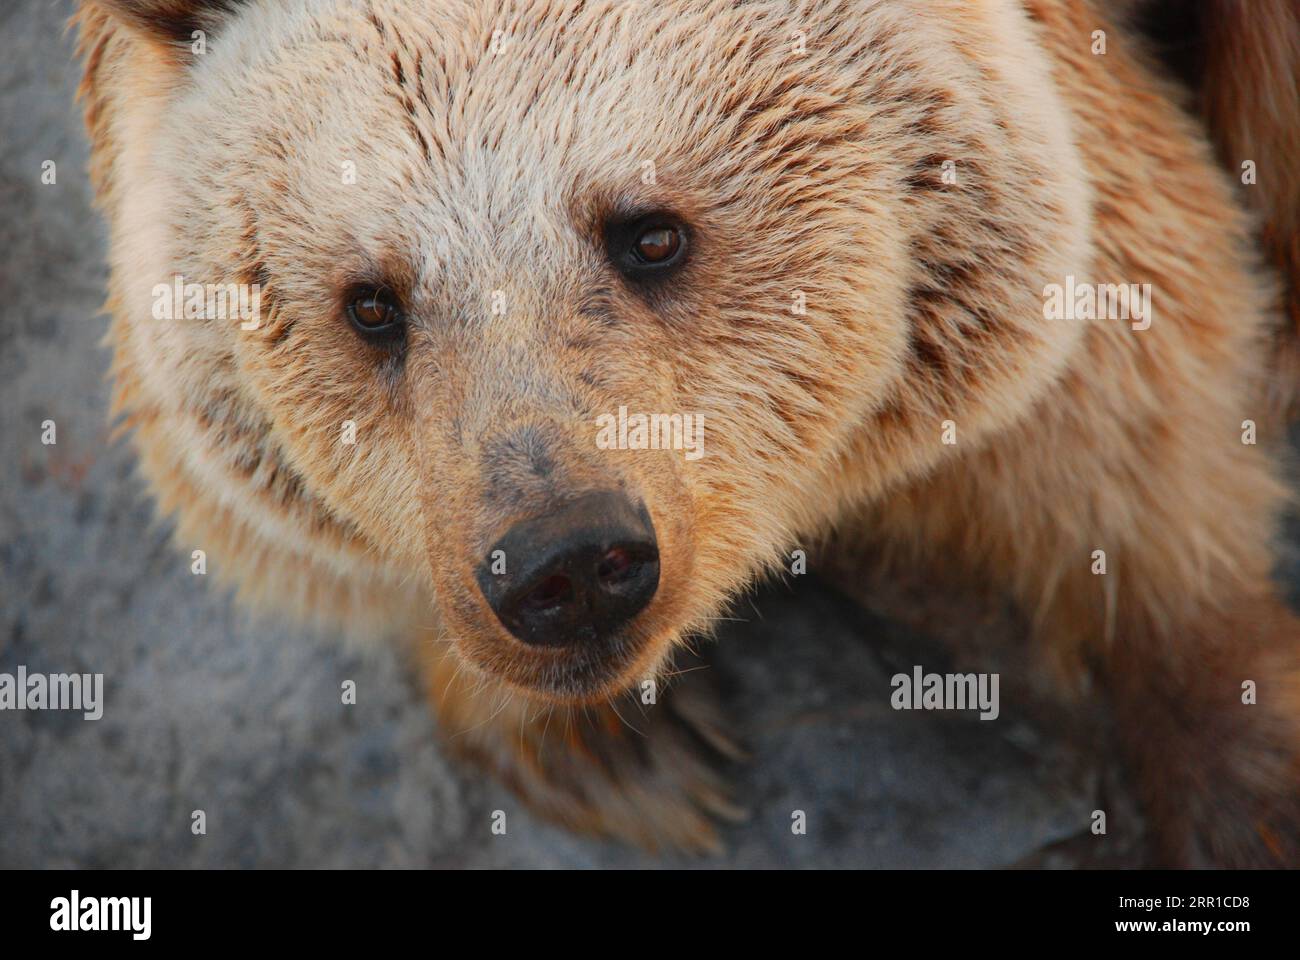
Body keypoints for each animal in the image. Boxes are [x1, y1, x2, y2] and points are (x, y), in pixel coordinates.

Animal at [73, 0, 1300, 865]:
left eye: (650, 232)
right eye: (371, 302)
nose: (567, 563)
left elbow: (1133, 425)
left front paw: (1236, 787)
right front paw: (629, 760)